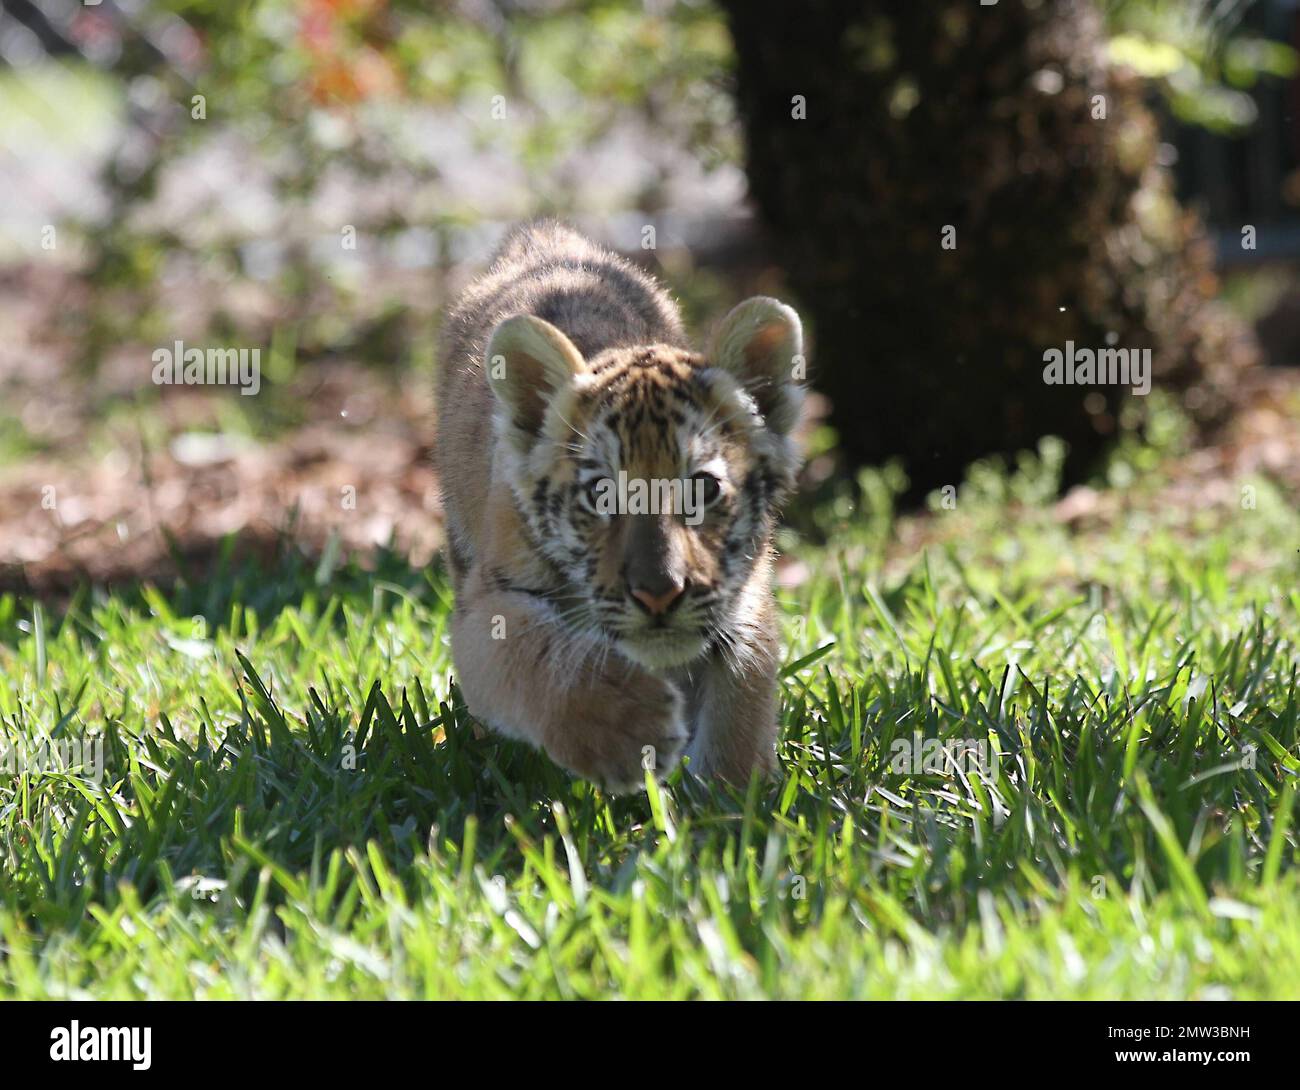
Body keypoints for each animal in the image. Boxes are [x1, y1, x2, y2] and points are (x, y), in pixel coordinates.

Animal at [435, 220, 804, 792]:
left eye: (704, 489)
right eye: (600, 494)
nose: (659, 594)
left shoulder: (744, 591)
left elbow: (743, 685)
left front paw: (734, 796)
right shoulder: (486, 604)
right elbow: (536, 656)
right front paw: (630, 731)